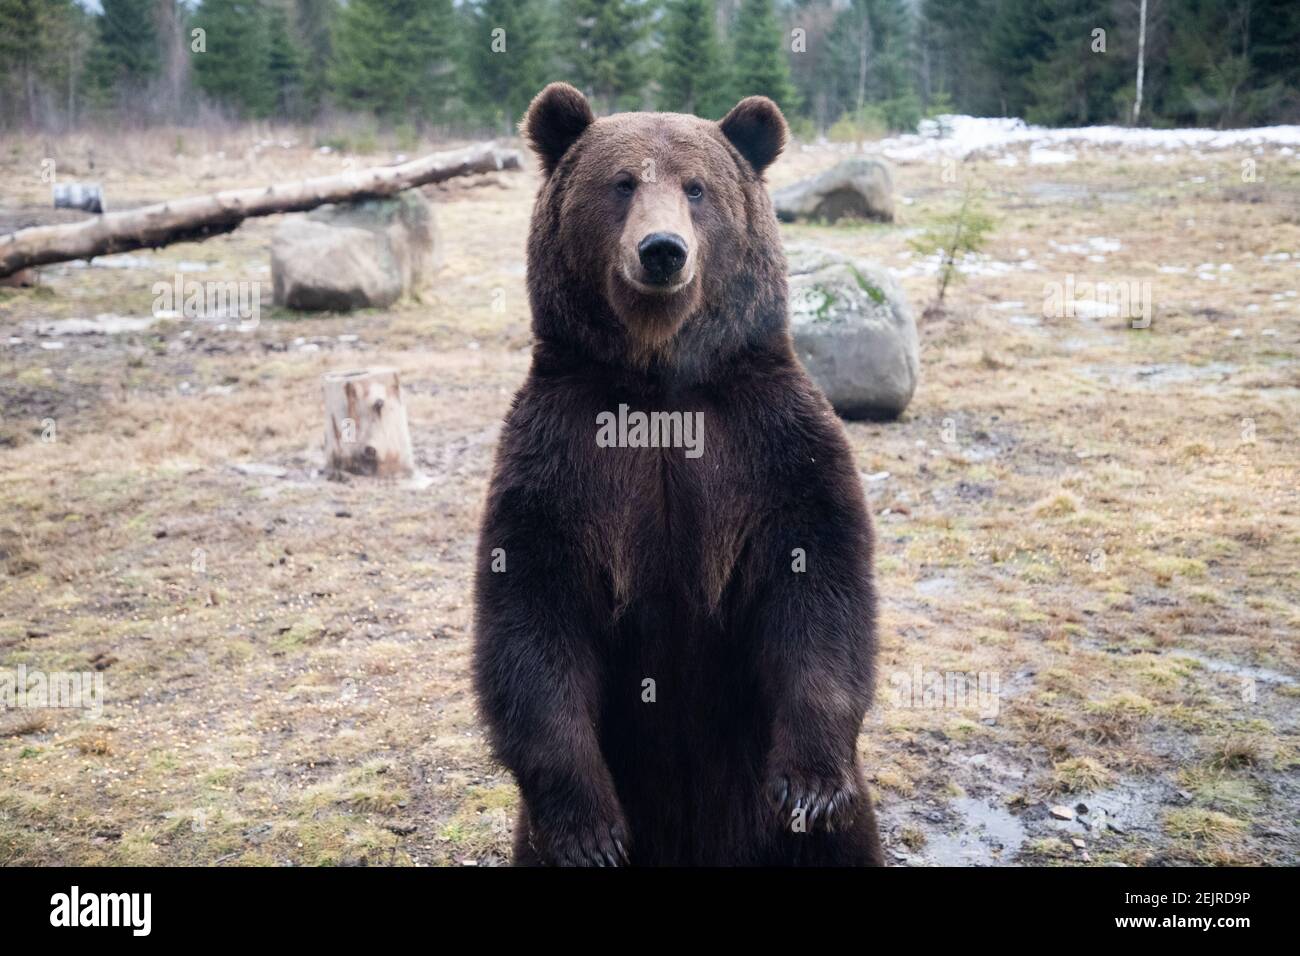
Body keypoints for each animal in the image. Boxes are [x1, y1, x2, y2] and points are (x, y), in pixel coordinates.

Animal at [472, 82, 884, 866]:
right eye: (621, 183)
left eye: (697, 188)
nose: (662, 251)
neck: (662, 385)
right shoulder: (558, 458)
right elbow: (532, 615)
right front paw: (591, 834)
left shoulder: (773, 444)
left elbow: (819, 583)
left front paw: (811, 786)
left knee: (843, 838)